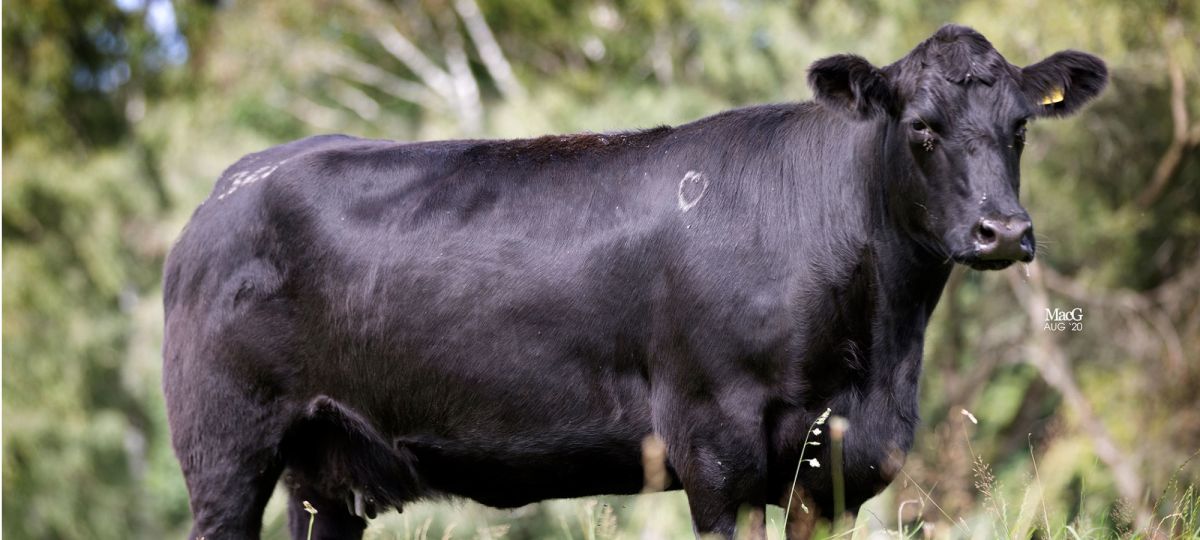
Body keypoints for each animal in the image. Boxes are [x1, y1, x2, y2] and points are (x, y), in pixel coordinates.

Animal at [163, 24, 1106, 539]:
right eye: (921, 128)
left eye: (1021, 127)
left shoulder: (838, 471)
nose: (1003, 231)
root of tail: (230, 186)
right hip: (224, 447)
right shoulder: (716, 448)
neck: (877, 355)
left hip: (326, 471)